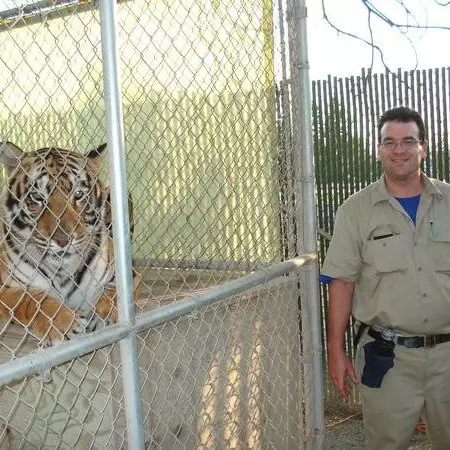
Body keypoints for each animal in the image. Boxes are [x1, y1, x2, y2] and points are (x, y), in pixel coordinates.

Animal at [0, 142, 137, 346]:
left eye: (78, 194)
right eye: (38, 197)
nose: (63, 240)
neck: (63, 269)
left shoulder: (127, 275)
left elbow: (113, 293)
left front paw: (101, 317)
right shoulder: (5, 289)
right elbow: (34, 300)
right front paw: (66, 325)